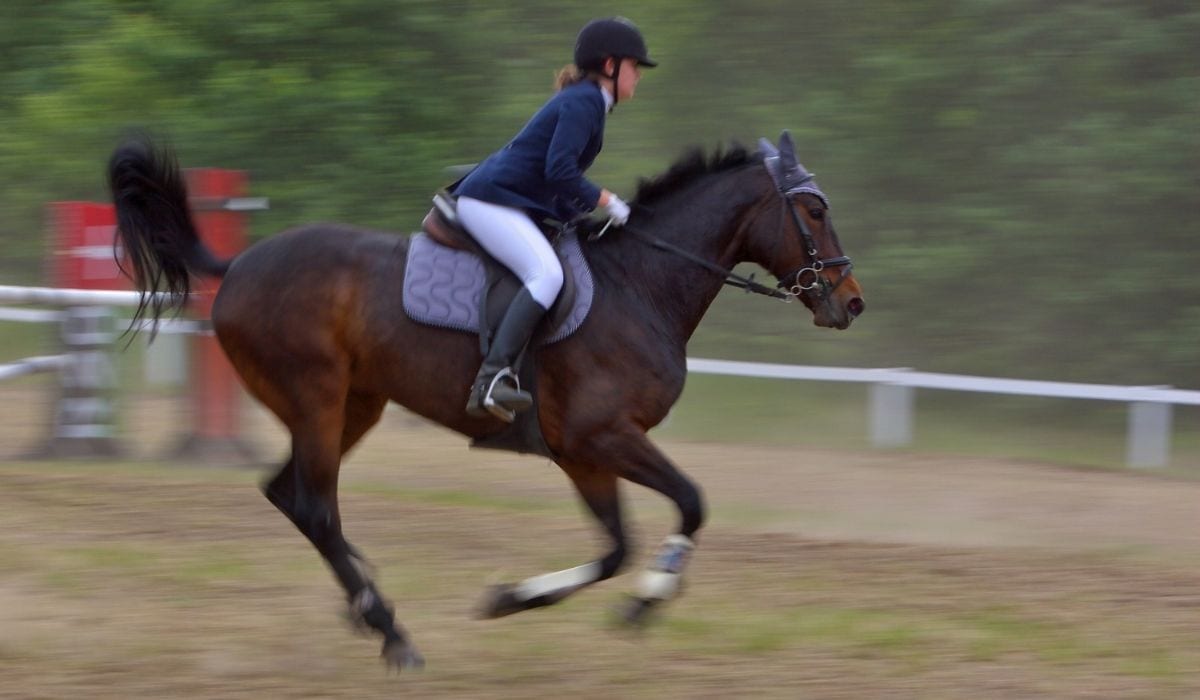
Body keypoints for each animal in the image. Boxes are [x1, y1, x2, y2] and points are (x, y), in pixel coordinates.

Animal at [107, 131, 864, 670]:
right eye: (815, 210)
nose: (851, 303)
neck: (641, 283)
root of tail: (239, 264)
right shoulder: (600, 436)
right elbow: (690, 503)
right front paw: (649, 601)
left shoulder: (585, 454)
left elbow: (616, 546)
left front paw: (511, 599)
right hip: (316, 398)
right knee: (316, 507)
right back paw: (391, 632)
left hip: (355, 404)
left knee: (289, 494)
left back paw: (366, 601)